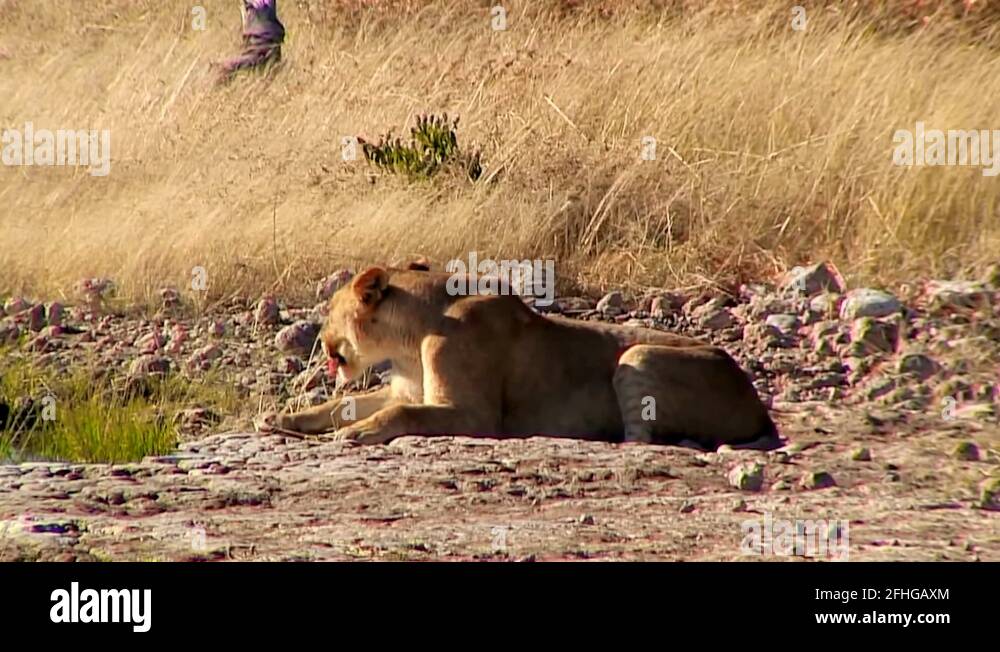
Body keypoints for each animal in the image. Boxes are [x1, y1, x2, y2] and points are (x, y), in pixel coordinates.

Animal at [255, 265, 779, 449]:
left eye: (329, 312)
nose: (318, 338)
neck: (408, 343)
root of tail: (758, 403)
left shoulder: (476, 415)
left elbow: (399, 413)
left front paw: (353, 433)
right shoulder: (405, 386)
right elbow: (339, 403)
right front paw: (280, 419)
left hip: (639, 354)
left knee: (643, 438)